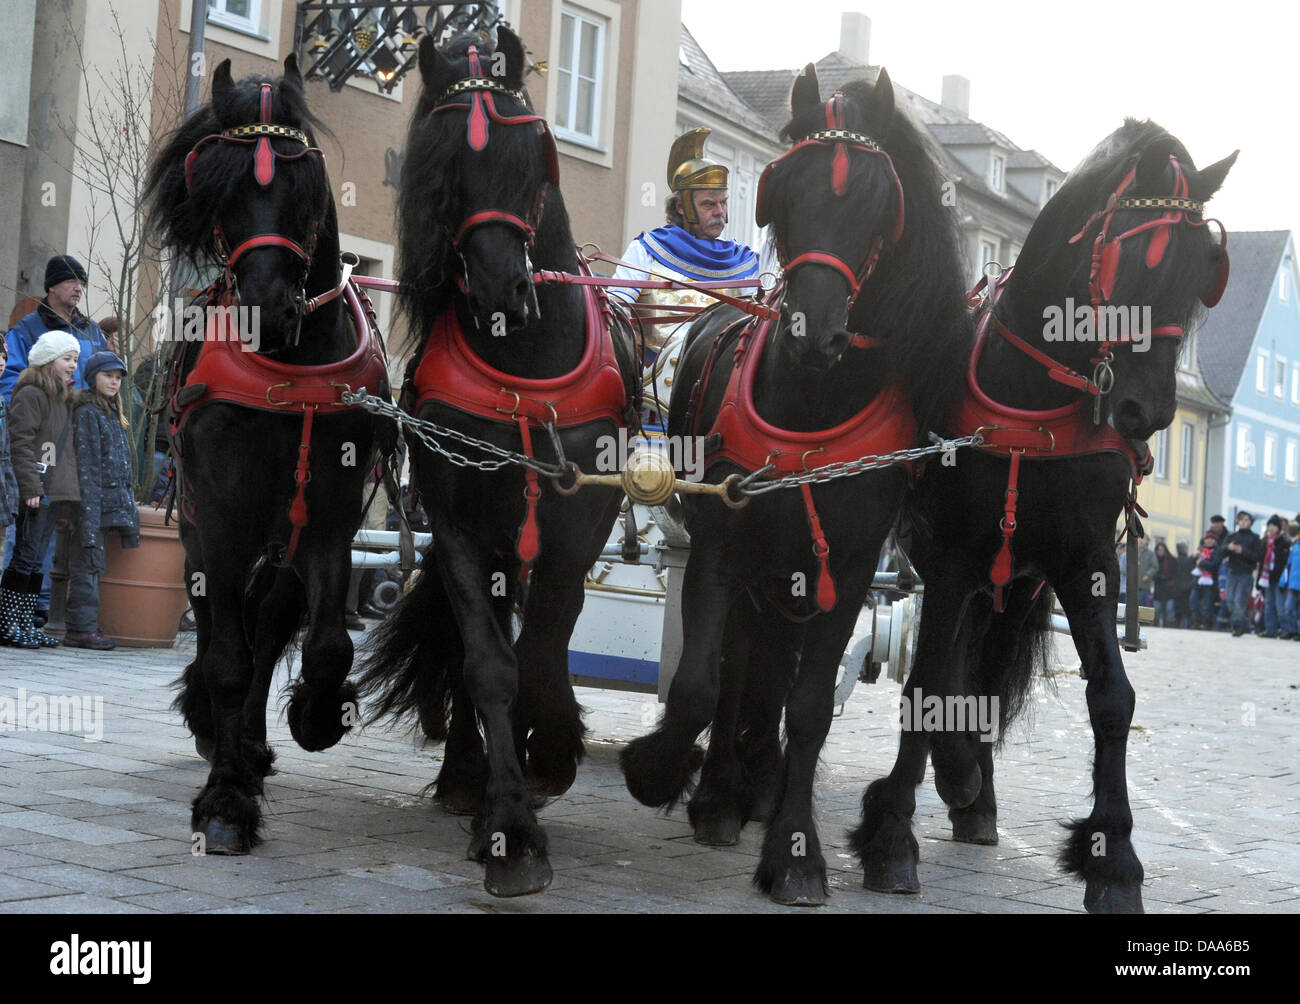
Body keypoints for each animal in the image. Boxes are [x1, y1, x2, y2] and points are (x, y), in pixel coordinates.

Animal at [144, 55, 392, 853]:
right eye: (217, 188)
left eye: (304, 180)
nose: (266, 309)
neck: (290, 367)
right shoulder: (218, 521)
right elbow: (227, 657)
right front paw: (225, 798)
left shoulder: (332, 518)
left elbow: (325, 643)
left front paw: (316, 713)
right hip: (198, 531)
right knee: (223, 630)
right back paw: (221, 738)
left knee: (272, 617)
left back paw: (253, 742)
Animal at [357, 29, 640, 897]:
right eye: (441, 164)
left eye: (529, 155)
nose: (498, 291)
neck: (523, 364)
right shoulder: (455, 521)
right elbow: (488, 662)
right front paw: (508, 827)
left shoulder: (580, 524)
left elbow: (545, 645)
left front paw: (550, 751)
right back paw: (465, 774)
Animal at [619, 65, 974, 905]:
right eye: (784, 190)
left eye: (878, 199)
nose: (816, 332)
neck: (812, 403)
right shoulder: (720, 545)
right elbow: (697, 684)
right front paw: (658, 769)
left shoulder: (846, 568)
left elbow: (807, 708)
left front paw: (795, 850)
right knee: (735, 668)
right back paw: (718, 793)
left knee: (763, 673)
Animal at [851, 120, 1235, 913]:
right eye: (1135, 259)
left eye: (1204, 272)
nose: (1148, 411)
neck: (1030, 395)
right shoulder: (952, 561)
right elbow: (926, 685)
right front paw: (891, 834)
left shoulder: (1083, 563)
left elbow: (1112, 697)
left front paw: (1114, 859)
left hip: (1017, 585)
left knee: (987, 673)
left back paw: (975, 789)